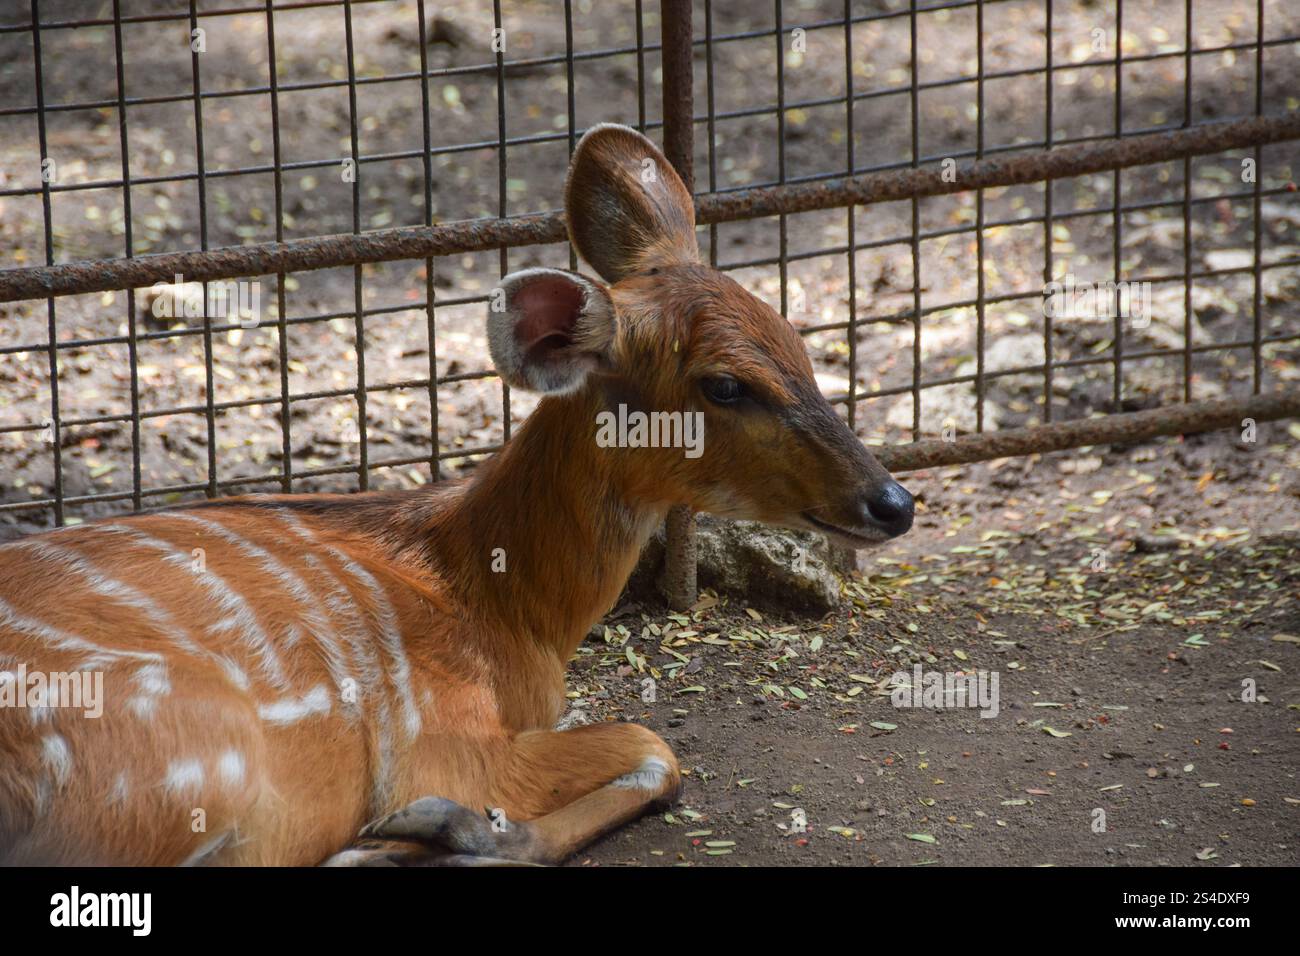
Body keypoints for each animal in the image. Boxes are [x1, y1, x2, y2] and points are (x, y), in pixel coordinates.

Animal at [0, 124, 914, 866]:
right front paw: (445, 827)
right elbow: (655, 743)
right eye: (725, 384)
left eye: (797, 342)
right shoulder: (446, 738)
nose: (893, 502)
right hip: (197, 765)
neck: (507, 613)